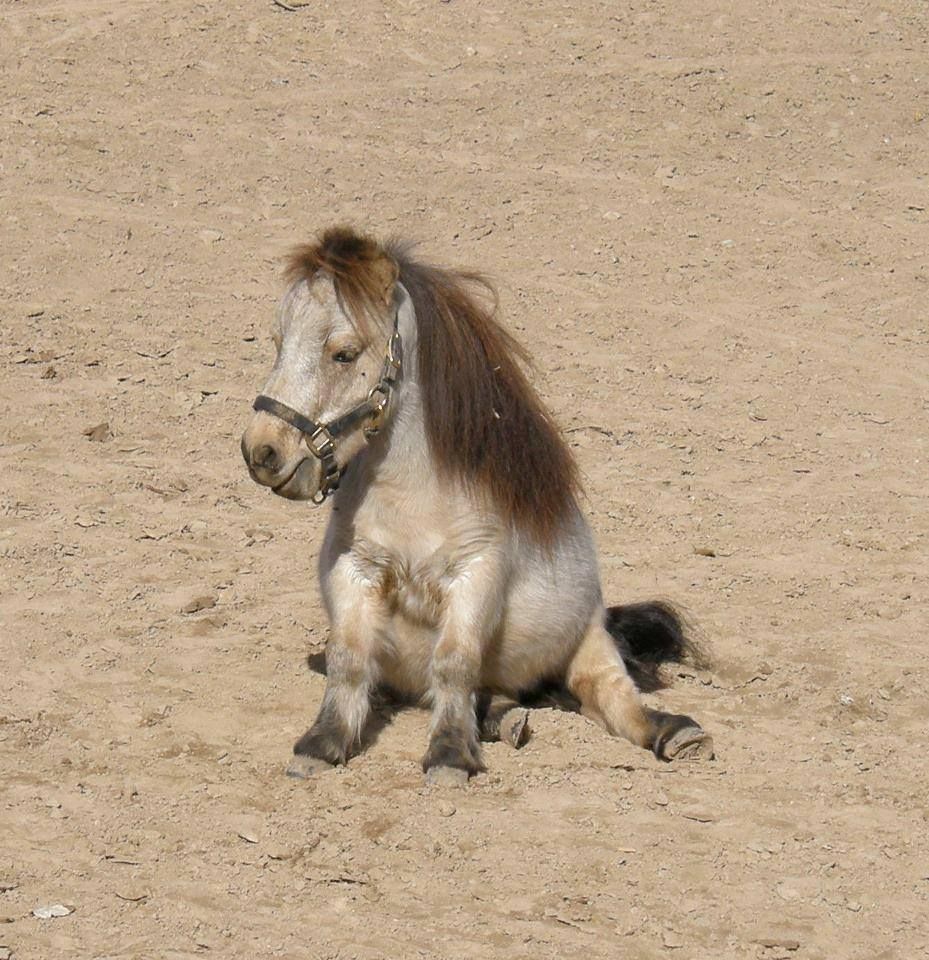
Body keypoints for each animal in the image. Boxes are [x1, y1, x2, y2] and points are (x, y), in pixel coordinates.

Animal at [240, 226, 714, 784]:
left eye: (343, 353)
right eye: (278, 344)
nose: (262, 452)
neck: (414, 496)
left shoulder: (476, 573)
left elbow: (455, 662)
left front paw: (448, 754)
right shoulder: (354, 569)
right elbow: (350, 660)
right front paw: (323, 742)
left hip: (589, 642)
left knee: (609, 694)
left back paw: (673, 732)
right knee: (498, 696)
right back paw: (507, 720)